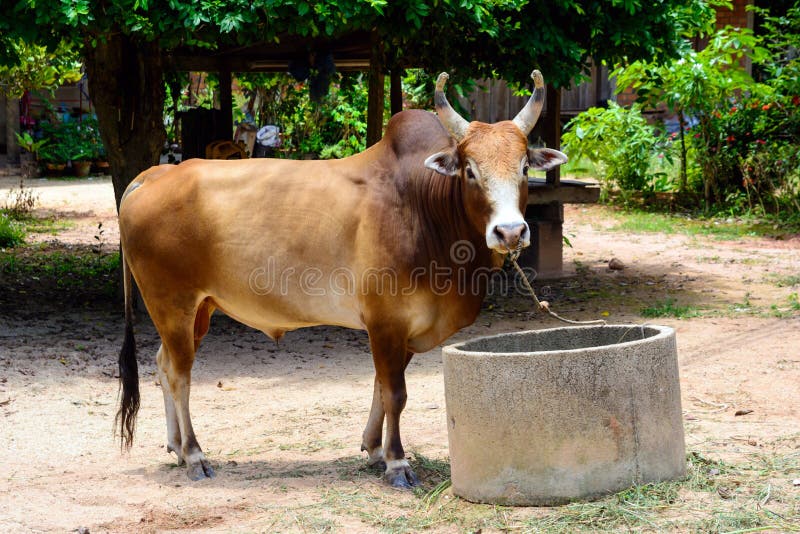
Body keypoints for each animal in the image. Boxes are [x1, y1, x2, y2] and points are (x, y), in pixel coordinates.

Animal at [116, 69, 567, 488]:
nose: (510, 232)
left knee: (163, 364)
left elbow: (382, 389)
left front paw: (374, 450)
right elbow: (395, 393)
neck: (423, 206)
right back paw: (194, 454)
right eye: (470, 171)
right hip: (172, 304)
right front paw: (397, 463)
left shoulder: (404, 328)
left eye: (524, 167)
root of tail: (153, 176)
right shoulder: (386, 321)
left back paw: (176, 447)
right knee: (180, 374)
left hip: (199, 311)